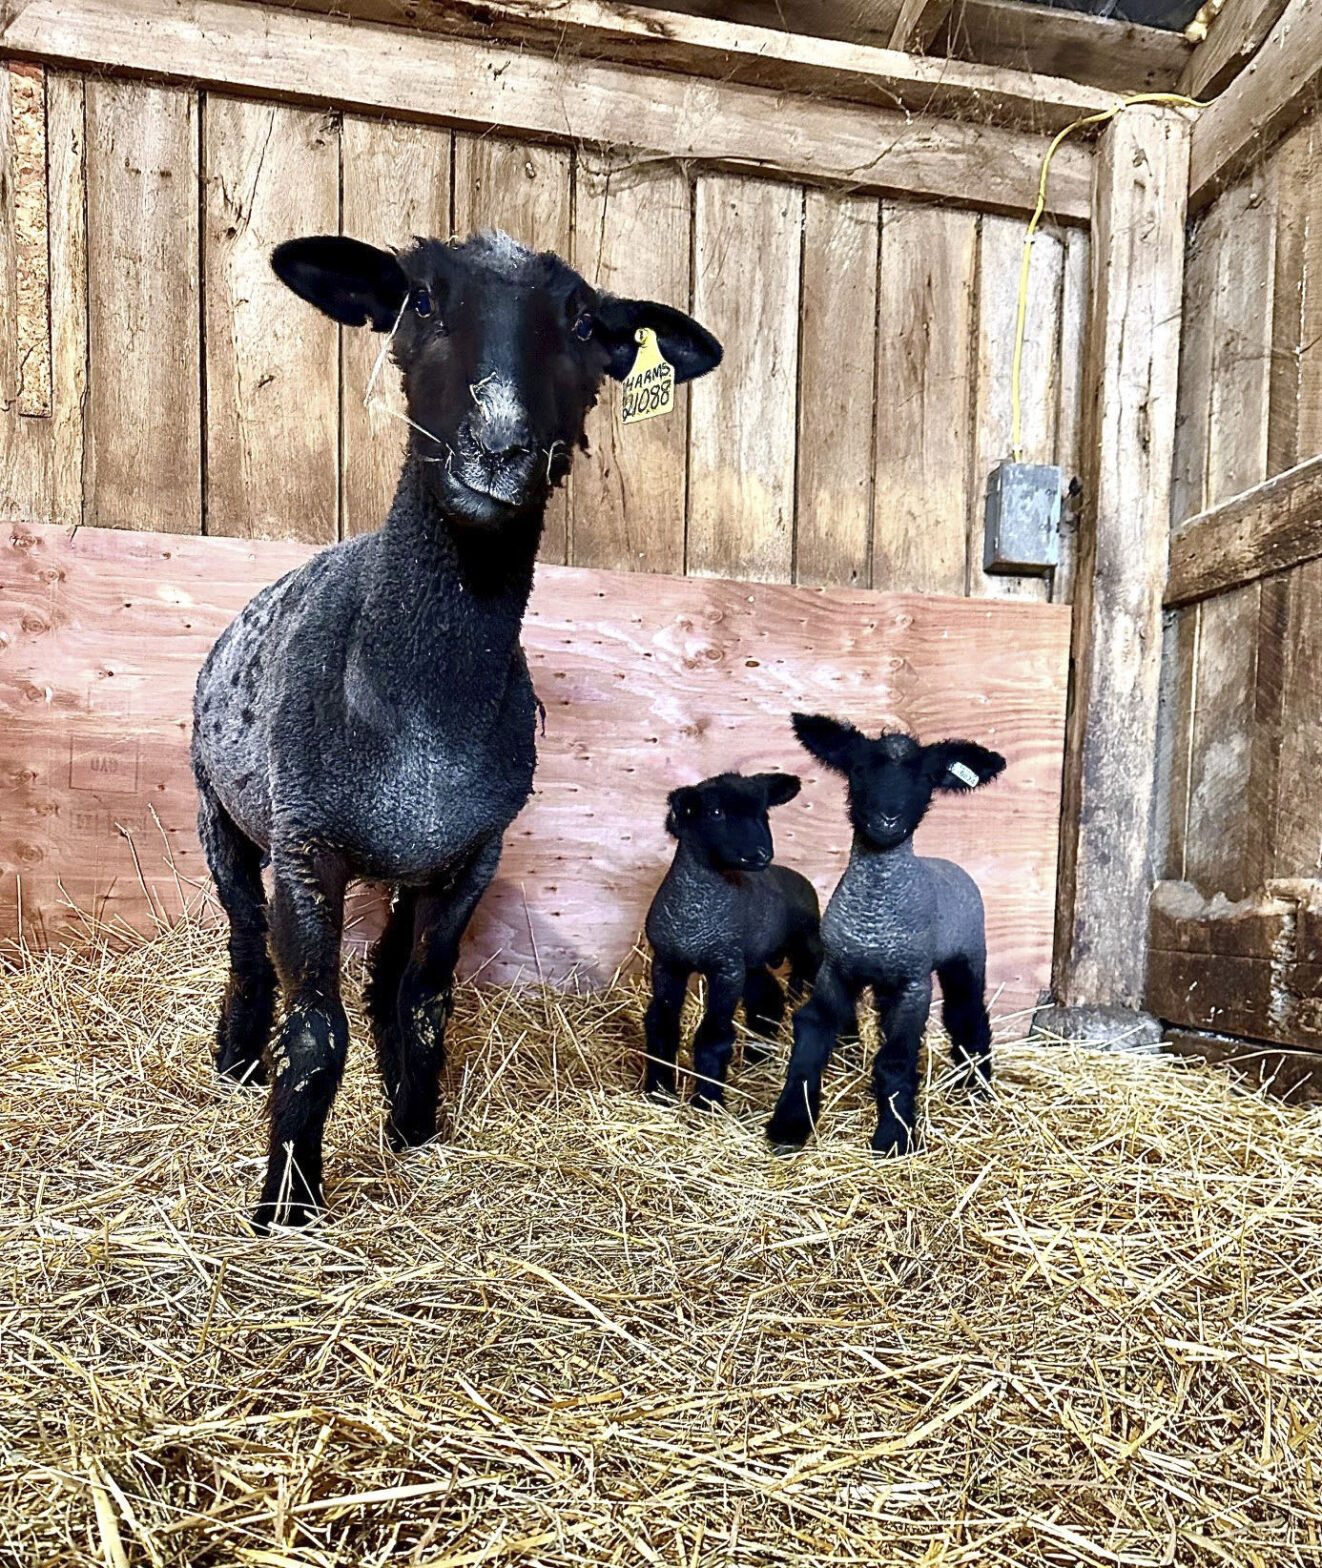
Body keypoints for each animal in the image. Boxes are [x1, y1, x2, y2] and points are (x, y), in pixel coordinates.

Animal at [191, 229, 722, 1231]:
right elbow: (313, 1031)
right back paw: (236, 1059)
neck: (421, 705)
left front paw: (413, 1129)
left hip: (412, 863)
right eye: (424, 302)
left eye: (586, 326)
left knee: (387, 972)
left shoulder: (472, 855)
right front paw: (289, 1199)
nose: (499, 448)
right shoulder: (307, 844)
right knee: (244, 940)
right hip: (221, 815)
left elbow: (426, 1000)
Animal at [643, 772, 822, 1108]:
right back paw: (757, 1058)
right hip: (752, 962)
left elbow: (714, 1036)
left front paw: (707, 1101)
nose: (762, 854)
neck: (695, 910)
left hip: (807, 949)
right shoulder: (668, 962)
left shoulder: (726, 968)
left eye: (764, 813)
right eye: (715, 812)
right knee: (768, 1000)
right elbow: (662, 1024)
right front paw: (658, 1091)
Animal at [765, 714, 1005, 1156]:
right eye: (859, 769)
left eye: (925, 778)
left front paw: (894, 1137)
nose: (888, 818)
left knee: (968, 1015)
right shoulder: (836, 970)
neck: (876, 912)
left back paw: (976, 1089)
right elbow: (812, 1033)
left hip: (966, 957)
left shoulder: (913, 983)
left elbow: (896, 1058)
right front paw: (789, 1125)